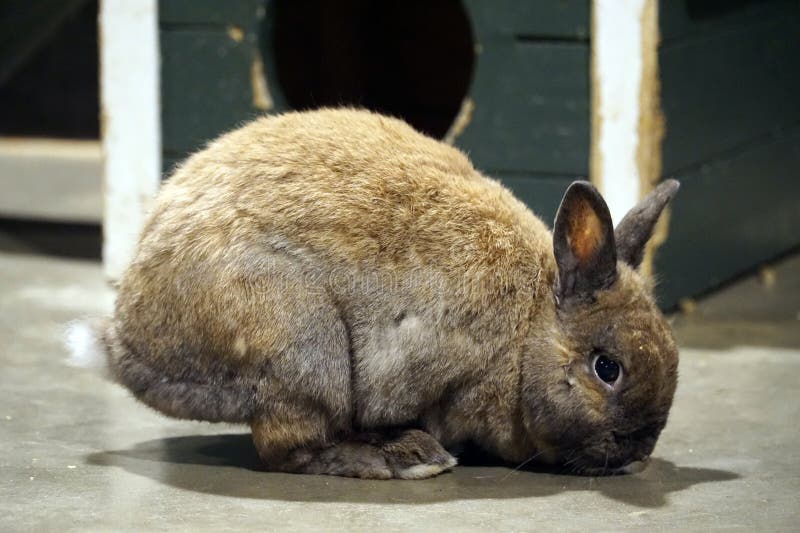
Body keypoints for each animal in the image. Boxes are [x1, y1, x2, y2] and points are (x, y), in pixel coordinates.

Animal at [71, 108, 680, 479]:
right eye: (606, 368)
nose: (640, 450)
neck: (529, 325)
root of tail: (126, 343)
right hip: (303, 347)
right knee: (287, 446)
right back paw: (401, 459)